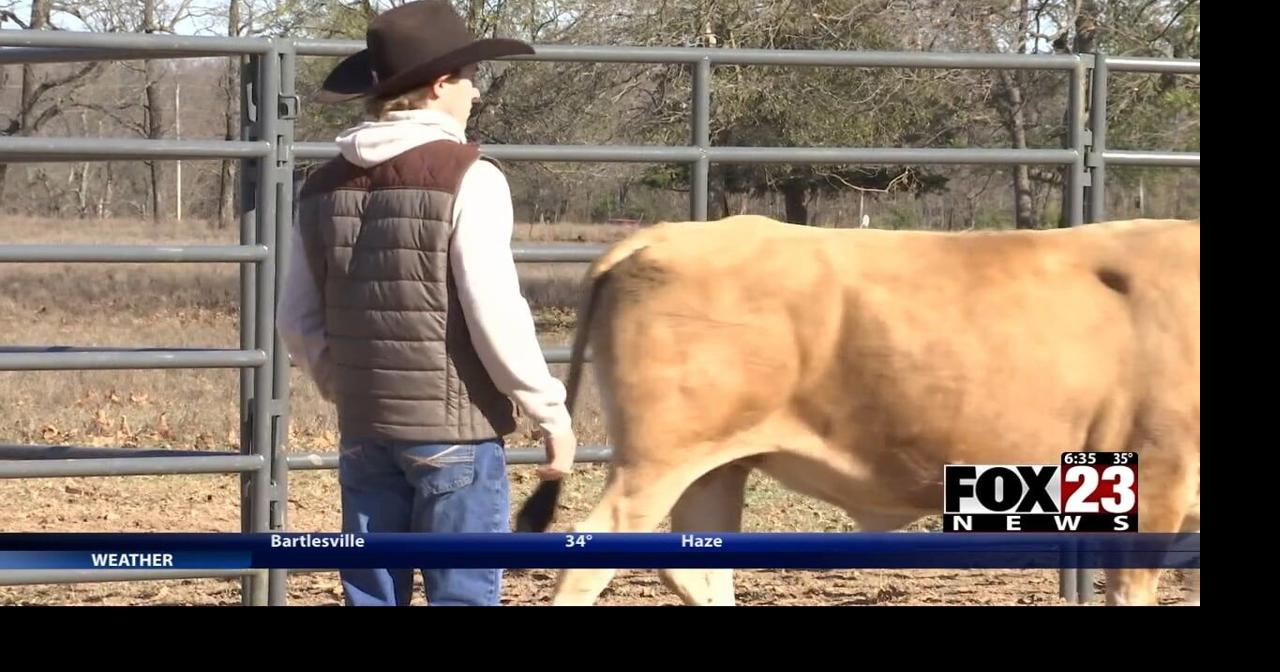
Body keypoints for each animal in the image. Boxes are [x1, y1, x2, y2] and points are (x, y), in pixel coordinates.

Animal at [515, 215, 1200, 606]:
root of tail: (658, 235)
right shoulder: (1157, 478)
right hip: (658, 460)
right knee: (587, 560)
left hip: (715, 466)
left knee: (698, 571)